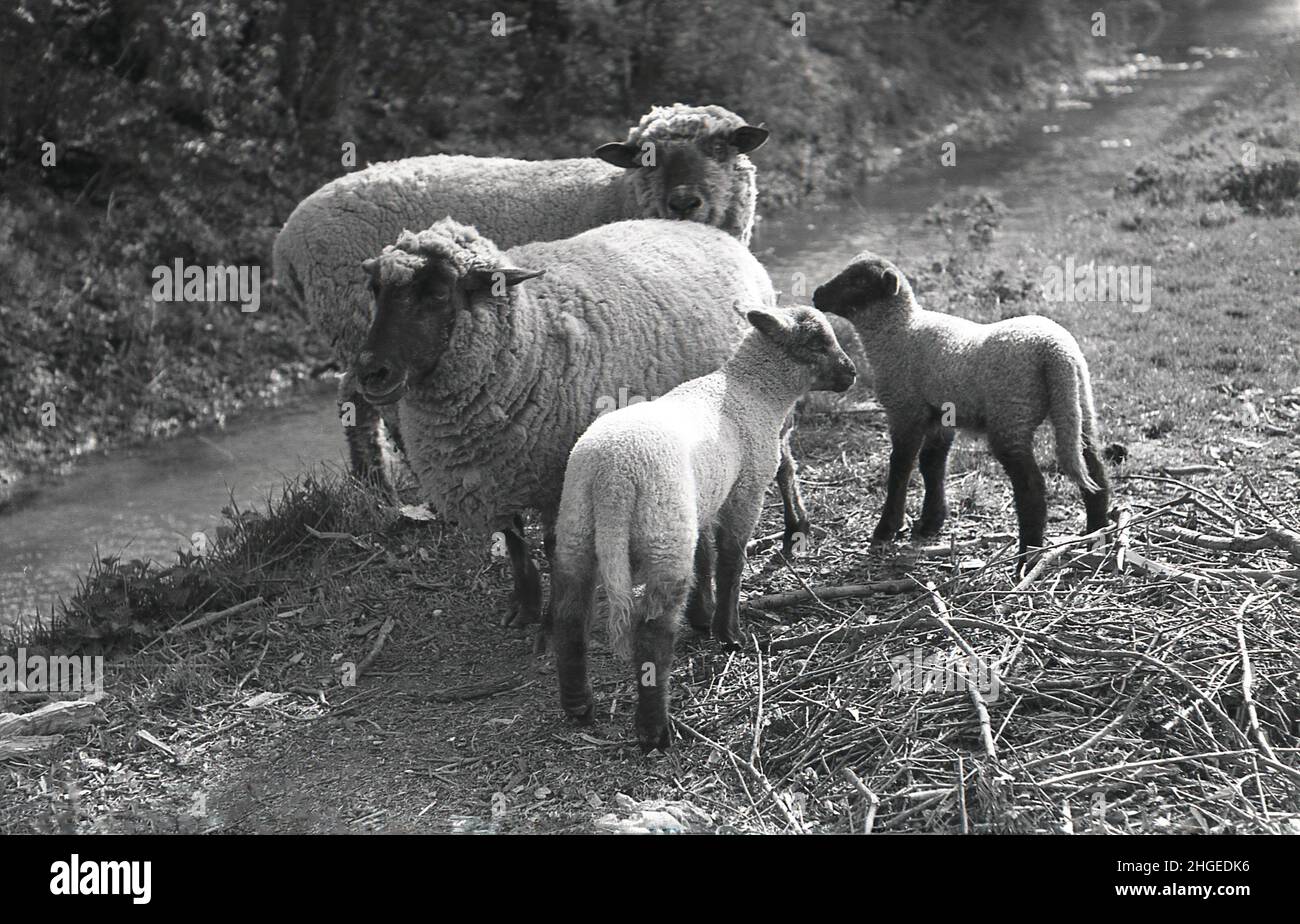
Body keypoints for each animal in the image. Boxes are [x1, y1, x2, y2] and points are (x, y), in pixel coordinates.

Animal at [272, 103, 769, 494]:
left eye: (721, 148)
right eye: (647, 159)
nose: (684, 202)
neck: (613, 193)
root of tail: (287, 237)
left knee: (354, 396)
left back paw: (373, 486)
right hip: (361, 320)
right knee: (379, 403)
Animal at [352, 217, 780, 629]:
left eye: (438, 293)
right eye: (375, 289)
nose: (371, 372)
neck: (532, 339)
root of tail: (710, 231)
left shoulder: (560, 475)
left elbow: (555, 549)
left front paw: (554, 617)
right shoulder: (498, 478)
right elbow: (514, 543)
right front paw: (524, 607)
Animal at [550, 305, 857, 752]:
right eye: (817, 342)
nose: (851, 373)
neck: (753, 390)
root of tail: (612, 477)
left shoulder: (704, 503)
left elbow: (705, 558)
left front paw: (703, 615)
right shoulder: (745, 492)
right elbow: (730, 561)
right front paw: (727, 632)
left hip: (577, 526)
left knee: (570, 615)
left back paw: (577, 705)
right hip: (664, 533)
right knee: (653, 631)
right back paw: (654, 731)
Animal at [812, 252, 1111, 566]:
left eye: (858, 281)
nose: (817, 294)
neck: (898, 331)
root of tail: (1056, 352)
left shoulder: (906, 408)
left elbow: (901, 466)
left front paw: (886, 529)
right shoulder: (939, 416)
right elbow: (932, 464)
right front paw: (930, 523)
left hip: (1010, 415)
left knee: (1031, 487)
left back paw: (1026, 556)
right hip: (1077, 406)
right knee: (1094, 469)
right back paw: (1097, 537)